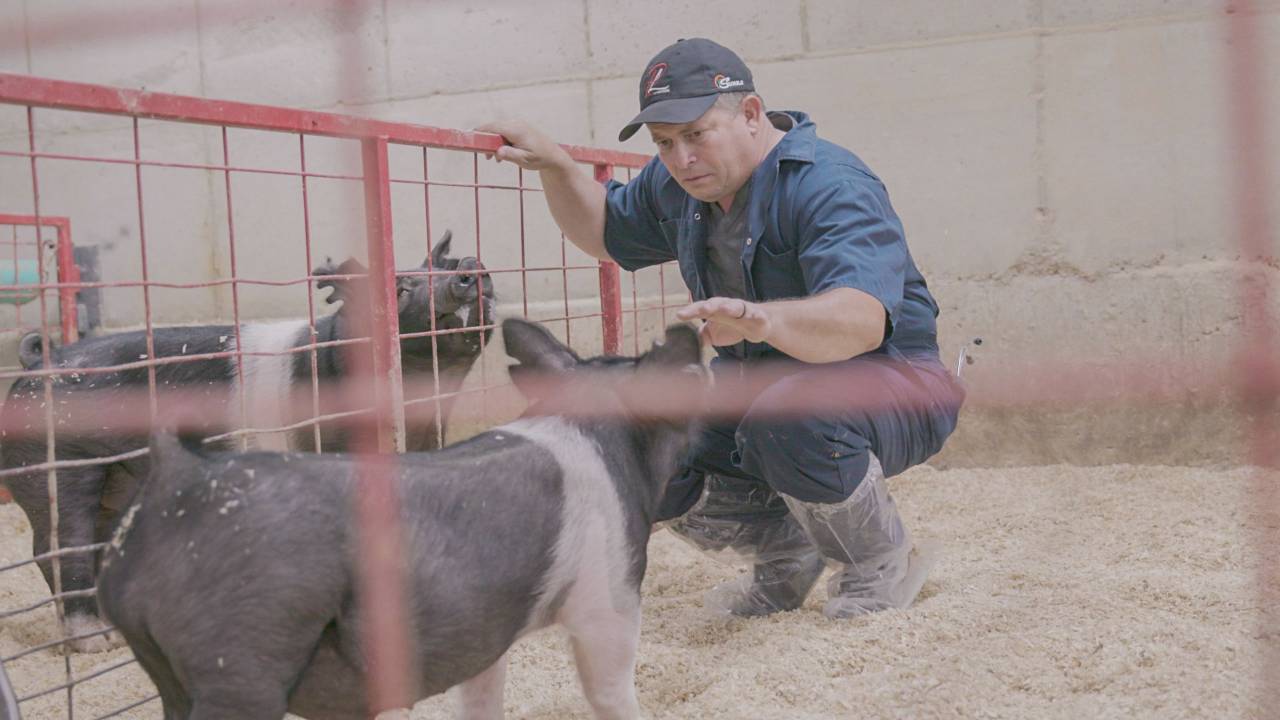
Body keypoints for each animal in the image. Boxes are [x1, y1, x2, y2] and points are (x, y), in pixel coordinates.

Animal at [0, 230, 495, 652]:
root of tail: (38, 363)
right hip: (59, 467)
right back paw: (97, 641)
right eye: (401, 289)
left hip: (119, 478)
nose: (470, 265)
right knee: (57, 546)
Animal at [95, 318, 703, 720]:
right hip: (241, 658)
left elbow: (482, 694)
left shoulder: (484, 626)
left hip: (156, 653)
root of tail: (183, 481)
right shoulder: (610, 600)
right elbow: (612, 689)